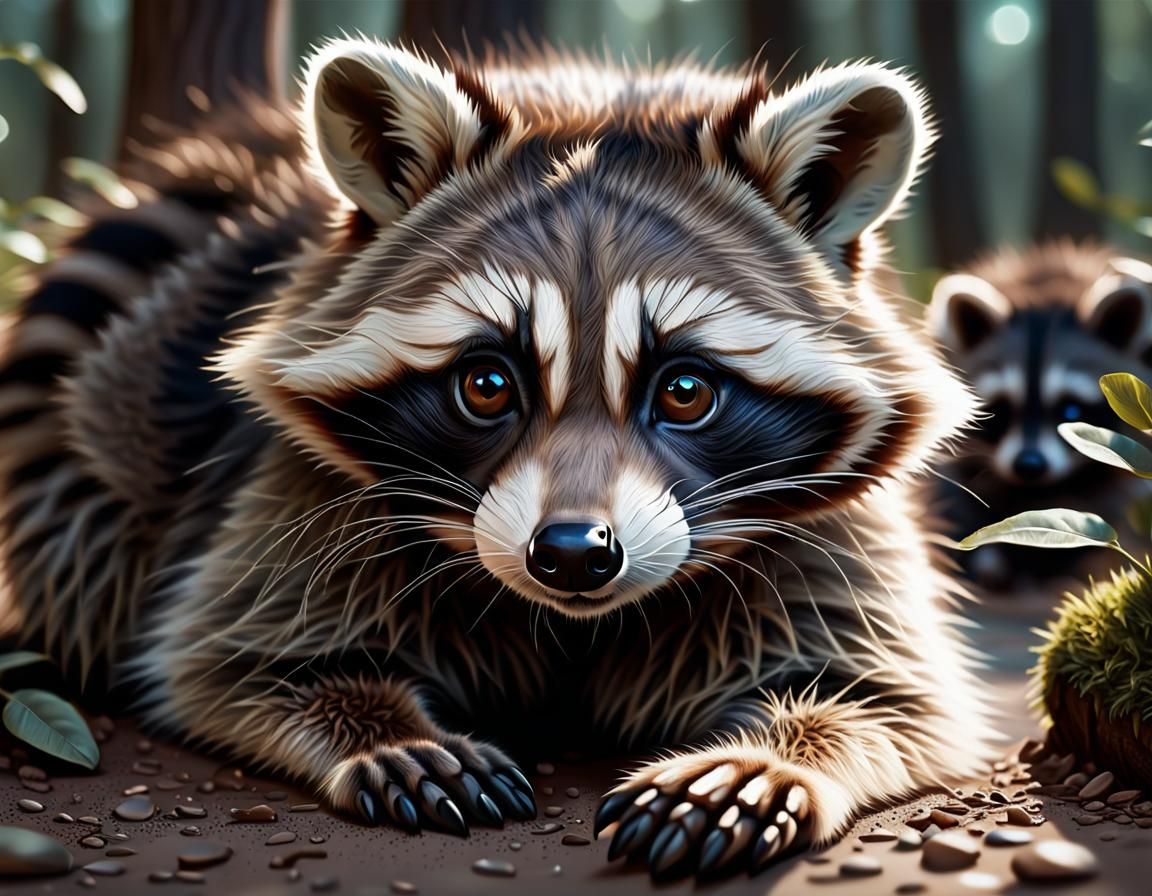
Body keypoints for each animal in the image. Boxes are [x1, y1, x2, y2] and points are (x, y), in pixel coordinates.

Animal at [0, 40, 993, 879]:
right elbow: (235, 656)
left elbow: (881, 692)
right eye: (486, 384)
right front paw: (380, 726)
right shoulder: (302, 499)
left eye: (684, 390)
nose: (573, 556)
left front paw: (764, 758)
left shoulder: (828, 531)